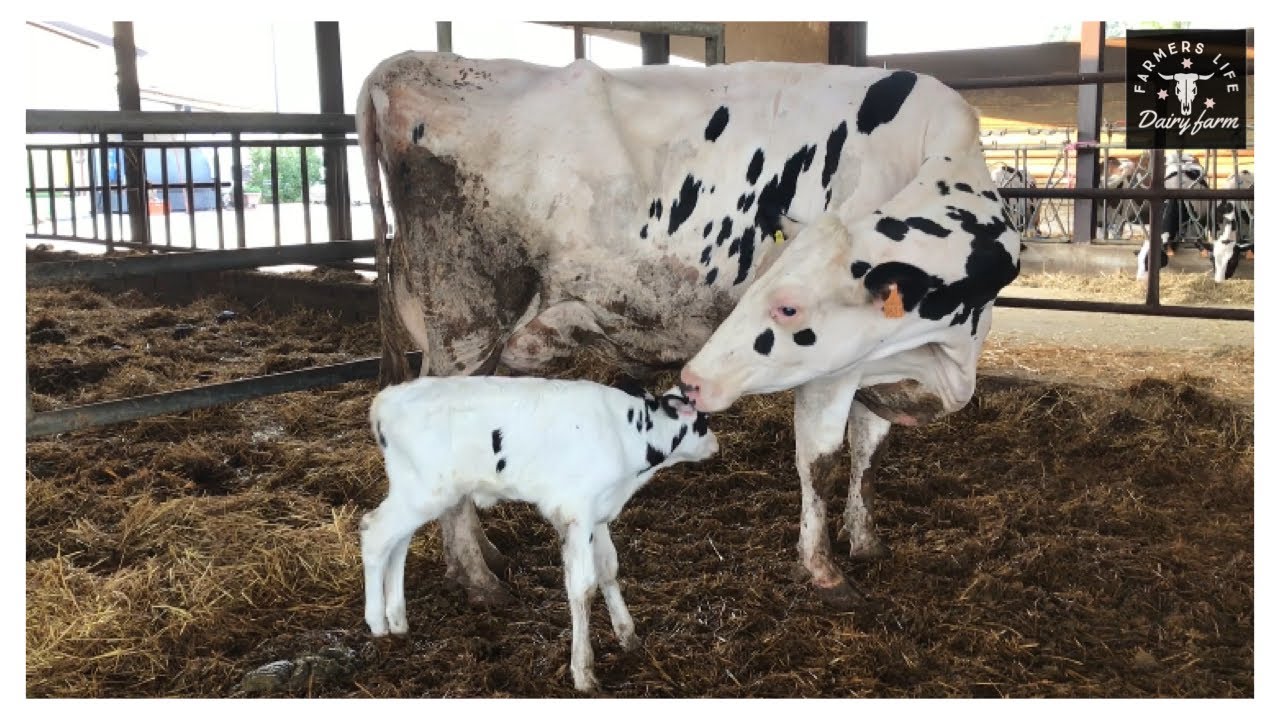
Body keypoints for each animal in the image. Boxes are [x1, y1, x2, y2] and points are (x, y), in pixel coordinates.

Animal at [357, 52, 1018, 607]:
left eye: (786, 305)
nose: (696, 380)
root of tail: (405, 65)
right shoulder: (831, 368)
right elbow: (821, 460)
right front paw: (824, 570)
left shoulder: (882, 363)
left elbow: (869, 450)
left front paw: (867, 539)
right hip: (466, 318)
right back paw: (478, 578)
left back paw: (484, 556)